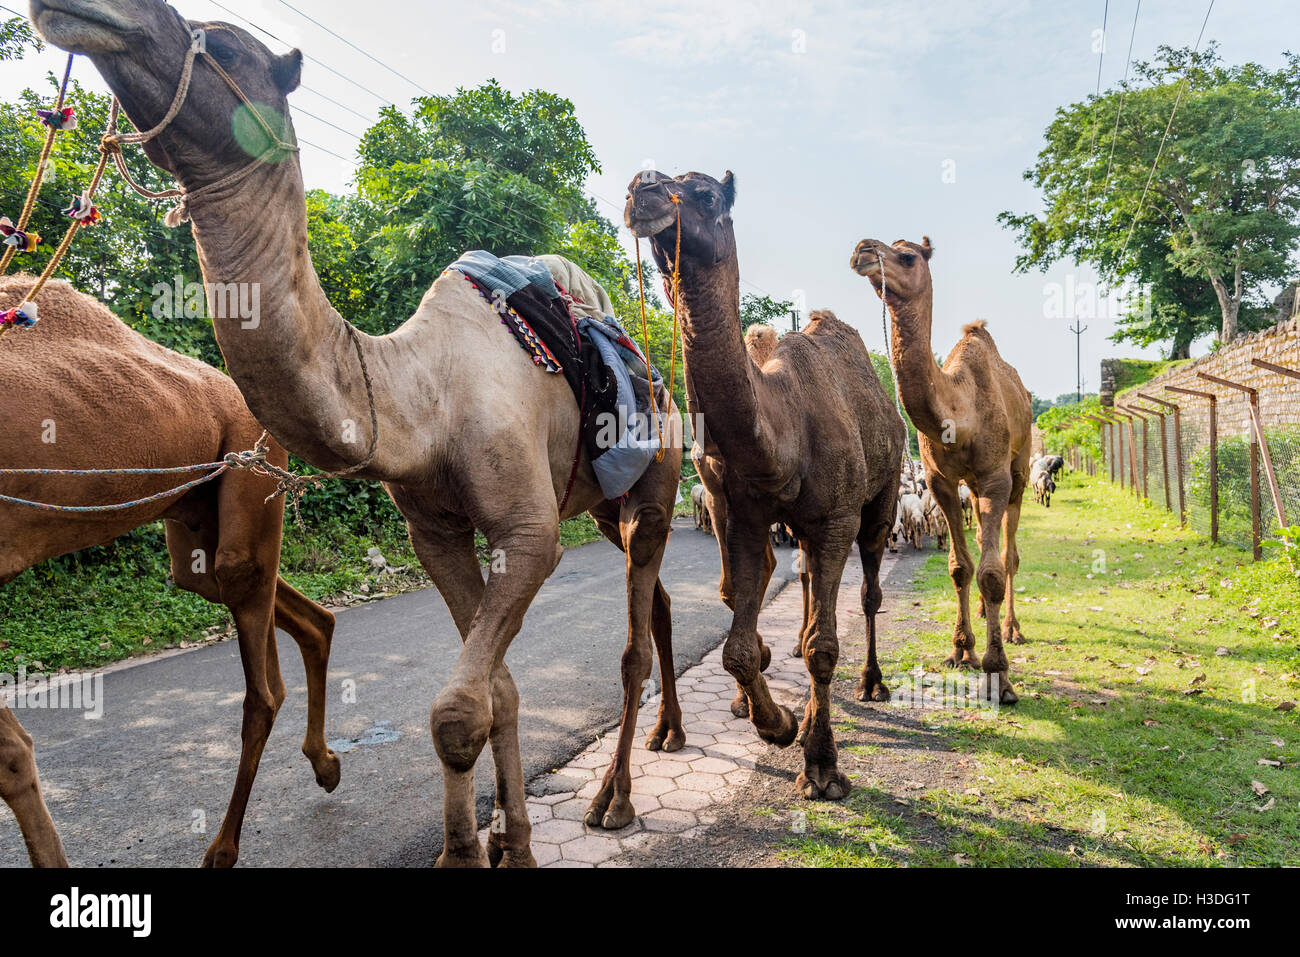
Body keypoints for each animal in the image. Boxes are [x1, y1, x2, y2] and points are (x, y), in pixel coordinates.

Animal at [0, 277, 338, 868]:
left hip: (248, 463)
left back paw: (222, 849)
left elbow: (11, 752)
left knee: (264, 689)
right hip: (192, 521)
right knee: (295, 616)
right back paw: (326, 764)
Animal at [32, 0, 684, 863]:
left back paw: (617, 800)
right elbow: (498, 692)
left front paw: (484, 844)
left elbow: (458, 710)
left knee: (636, 633)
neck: (419, 399)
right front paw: (493, 841)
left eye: (227, 42)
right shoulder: (434, 531)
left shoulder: (527, 529)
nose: (96, 11)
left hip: (656, 480)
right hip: (602, 505)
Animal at [627, 170, 906, 801]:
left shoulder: (835, 519)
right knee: (798, 578)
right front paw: (778, 723)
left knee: (869, 587)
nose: (642, 189)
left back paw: (872, 683)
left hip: (884, 491)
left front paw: (821, 766)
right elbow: (735, 642)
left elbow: (824, 647)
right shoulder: (746, 513)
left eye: (706, 194)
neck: (783, 429)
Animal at [851, 237, 1031, 704]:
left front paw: (999, 676)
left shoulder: (995, 479)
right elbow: (960, 567)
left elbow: (992, 573)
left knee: (1010, 555)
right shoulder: (941, 483)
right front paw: (962, 651)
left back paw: (1013, 630)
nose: (863, 249)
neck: (959, 411)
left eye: (907, 255)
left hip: (1021, 472)